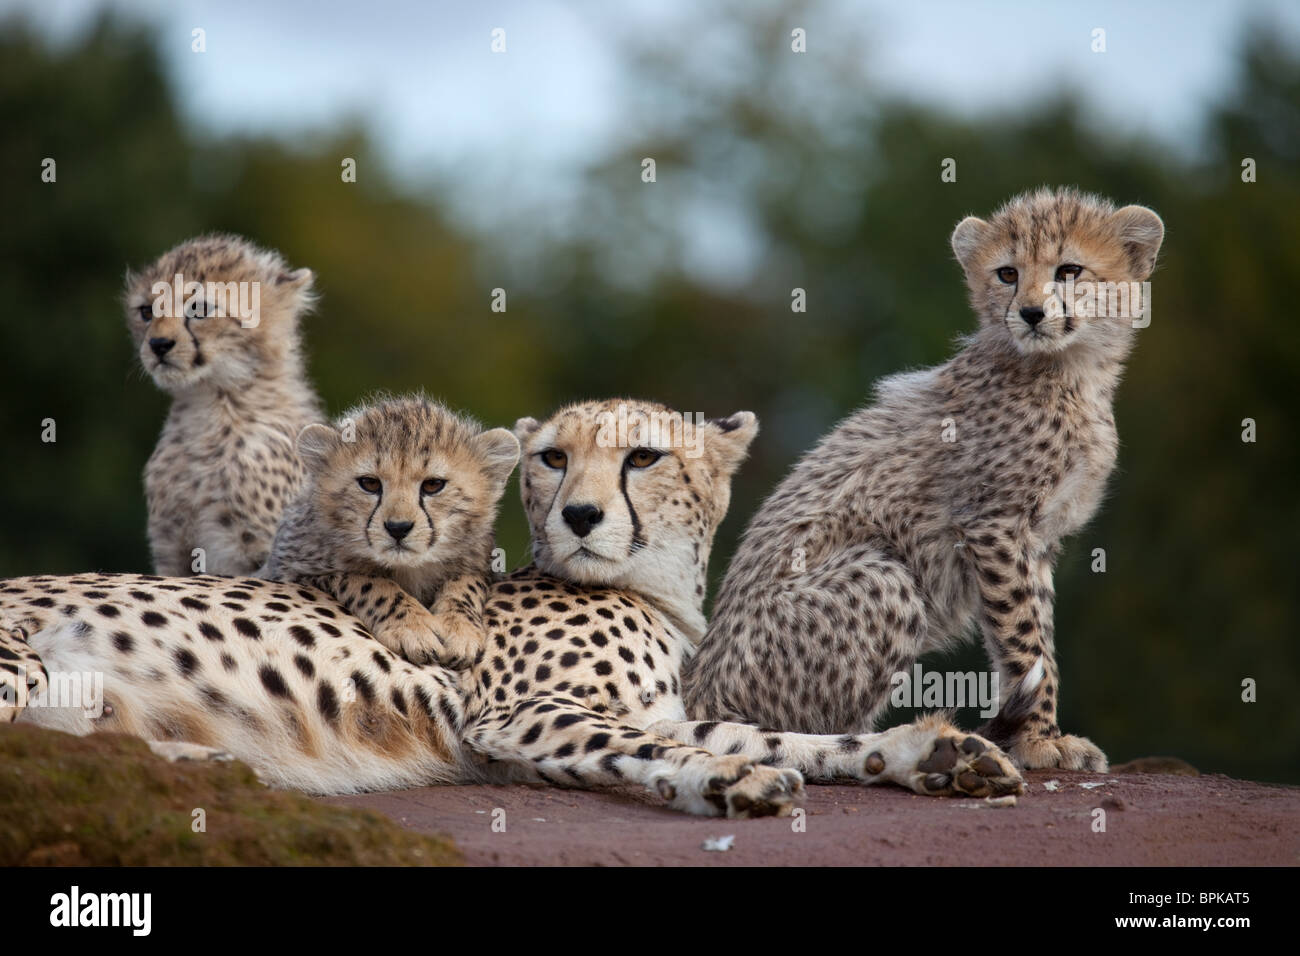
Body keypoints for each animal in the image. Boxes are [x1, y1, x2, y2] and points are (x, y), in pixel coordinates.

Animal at [258, 394, 520, 668]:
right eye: (369, 483)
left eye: (433, 485)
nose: (398, 528)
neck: (409, 570)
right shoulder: (291, 571)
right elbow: (368, 582)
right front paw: (412, 627)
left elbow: (466, 583)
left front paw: (459, 627)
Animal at [685, 187, 1165, 773]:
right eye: (1008, 273)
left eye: (1070, 270)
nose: (1030, 313)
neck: (1067, 370)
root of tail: (695, 685)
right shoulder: (992, 524)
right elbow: (1025, 637)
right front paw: (1039, 740)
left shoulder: (1037, 538)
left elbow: (1036, 635)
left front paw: (1036, 734)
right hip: (882, 578)